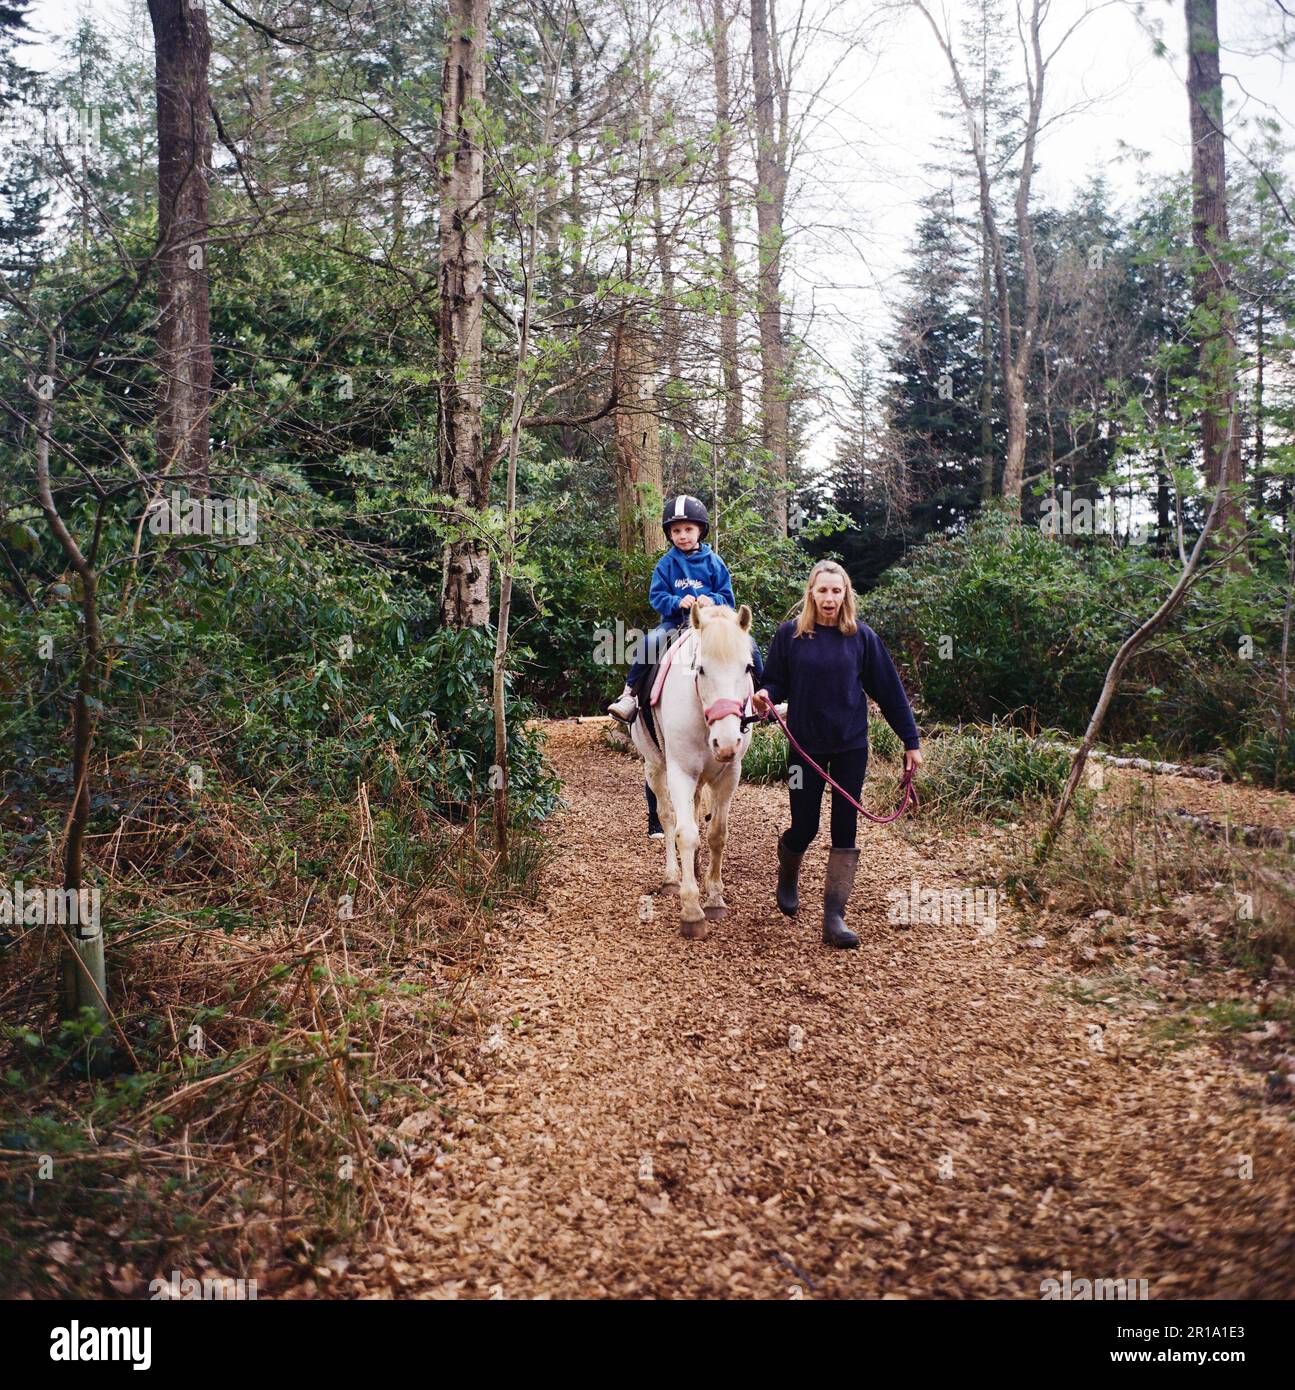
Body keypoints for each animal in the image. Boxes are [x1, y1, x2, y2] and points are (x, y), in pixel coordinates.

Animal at [630, 602, 757, 939]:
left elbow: (716, 834)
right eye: (700, 669)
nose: (726, 742)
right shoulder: (681, 774)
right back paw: (673, 878)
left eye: (748, 668)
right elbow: (685, 833)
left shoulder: (729, 775)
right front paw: (691, 911)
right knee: (667, 817)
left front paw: (714, 898)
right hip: (655, 767)